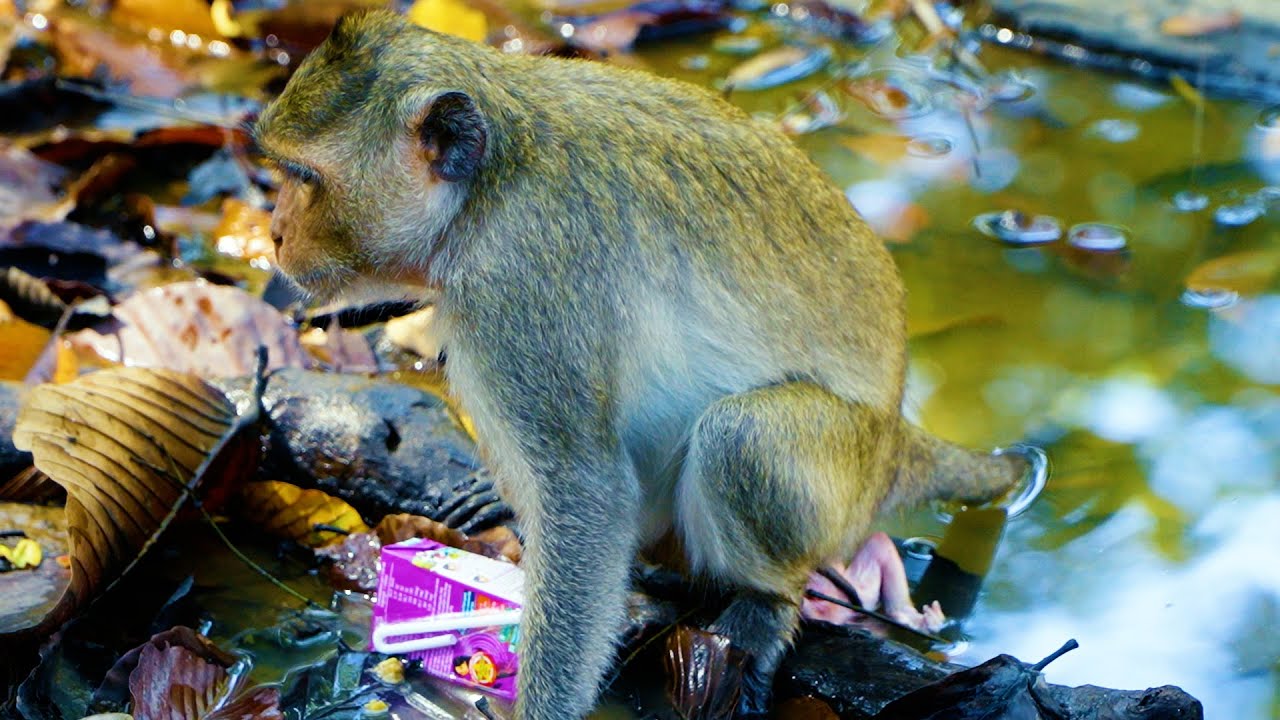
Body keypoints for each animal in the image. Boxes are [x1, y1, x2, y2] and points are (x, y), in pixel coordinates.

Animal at [253, 10, 1031, 718]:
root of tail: (897, 438)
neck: (488, 187)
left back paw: (757, 603)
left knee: (742, 435)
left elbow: (586, 489)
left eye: (303, 176)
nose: (276, 231)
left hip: (850, 477)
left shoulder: (520, 288)